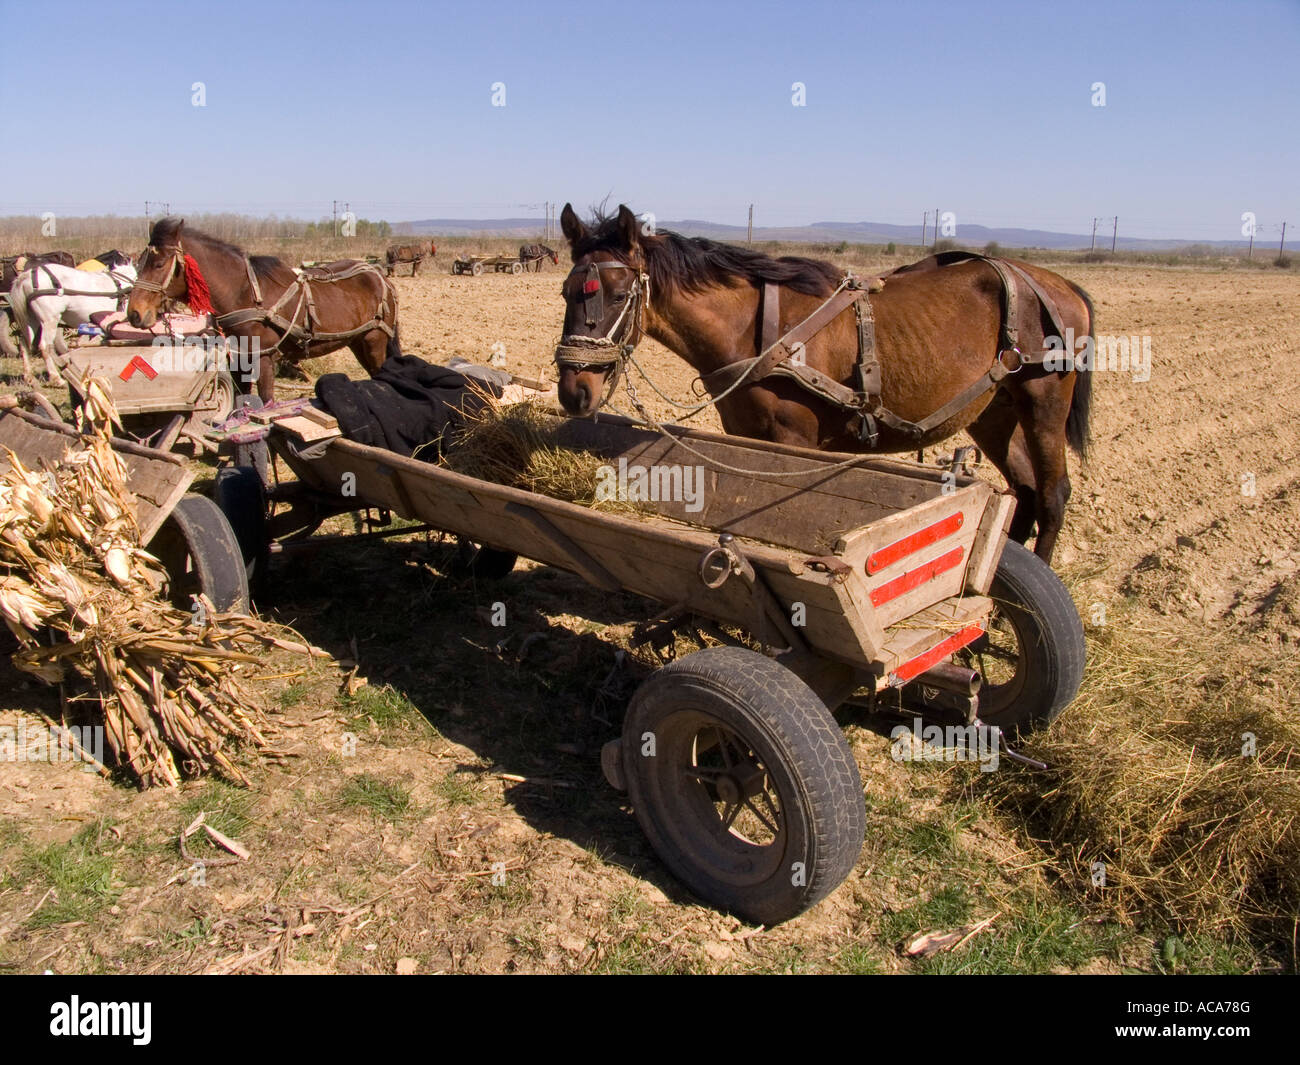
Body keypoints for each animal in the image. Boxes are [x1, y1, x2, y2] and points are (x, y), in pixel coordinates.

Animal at [8, 261, 137, 385]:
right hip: (50, 320)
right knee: (45, 346)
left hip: (30, 320)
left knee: (24, 342)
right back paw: (57, 379)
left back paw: (29, 377)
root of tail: (27, 276)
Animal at [127, 218, 400, 401]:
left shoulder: (264, 356)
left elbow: (267, 401)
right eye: (139, 261)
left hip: (375, 340)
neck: (244, 293)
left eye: (159, 264)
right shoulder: (239, 358)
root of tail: (380, 276)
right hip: (358, 341)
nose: (134, 313)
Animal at [552, 204, 1094, 564]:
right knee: (1024, 490)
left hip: (1043, 404)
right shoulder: (747, 435)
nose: (575, 391)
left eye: (618, 293)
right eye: (566, 290)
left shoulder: (795, 440)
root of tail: (1058, 286)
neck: (760, 330)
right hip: (994, 411)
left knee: (1052, 494)